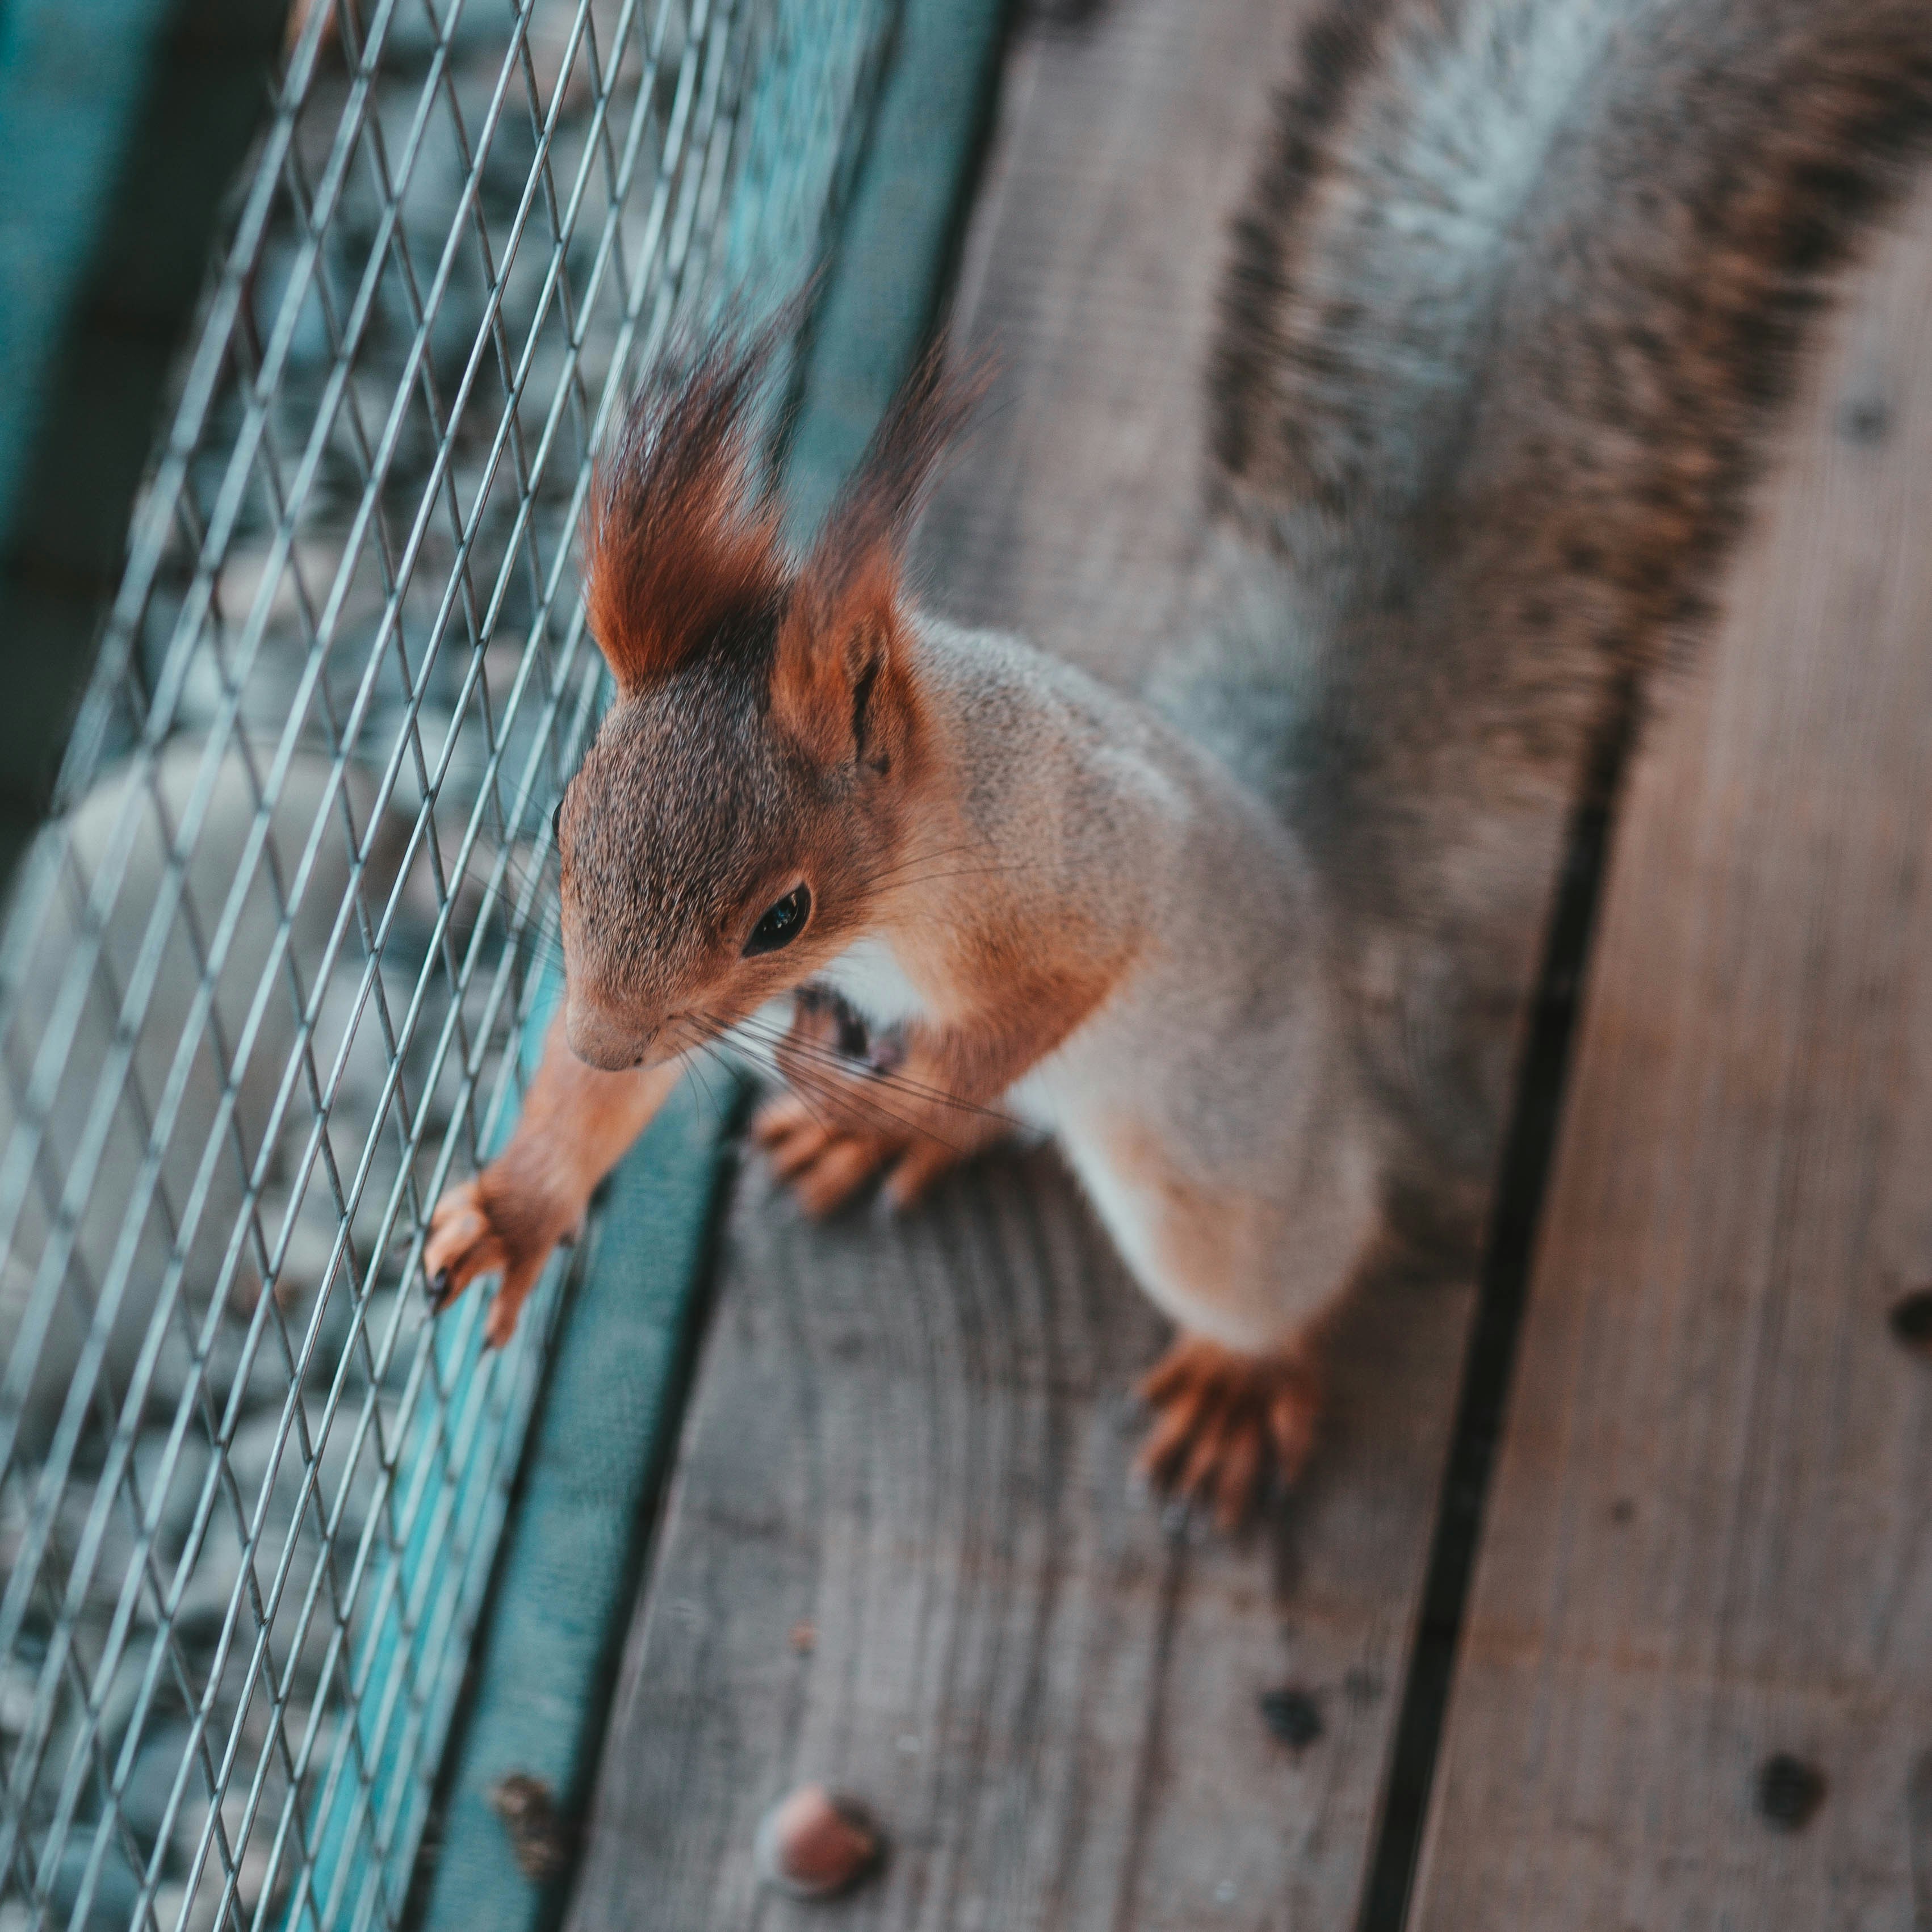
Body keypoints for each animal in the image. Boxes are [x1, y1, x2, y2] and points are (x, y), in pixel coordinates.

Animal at [426, 0, 1932, 1526]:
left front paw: (884, 1086)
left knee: (1294, 1255)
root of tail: (1314, 899)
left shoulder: (1074, 865)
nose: (602, 1033)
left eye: (781, 914)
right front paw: (523, 1203)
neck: (910, 871)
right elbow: (617, 1099)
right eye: (565, 826)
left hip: (1222, 1168)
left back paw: (1230, 1367)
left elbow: (1055, 988)